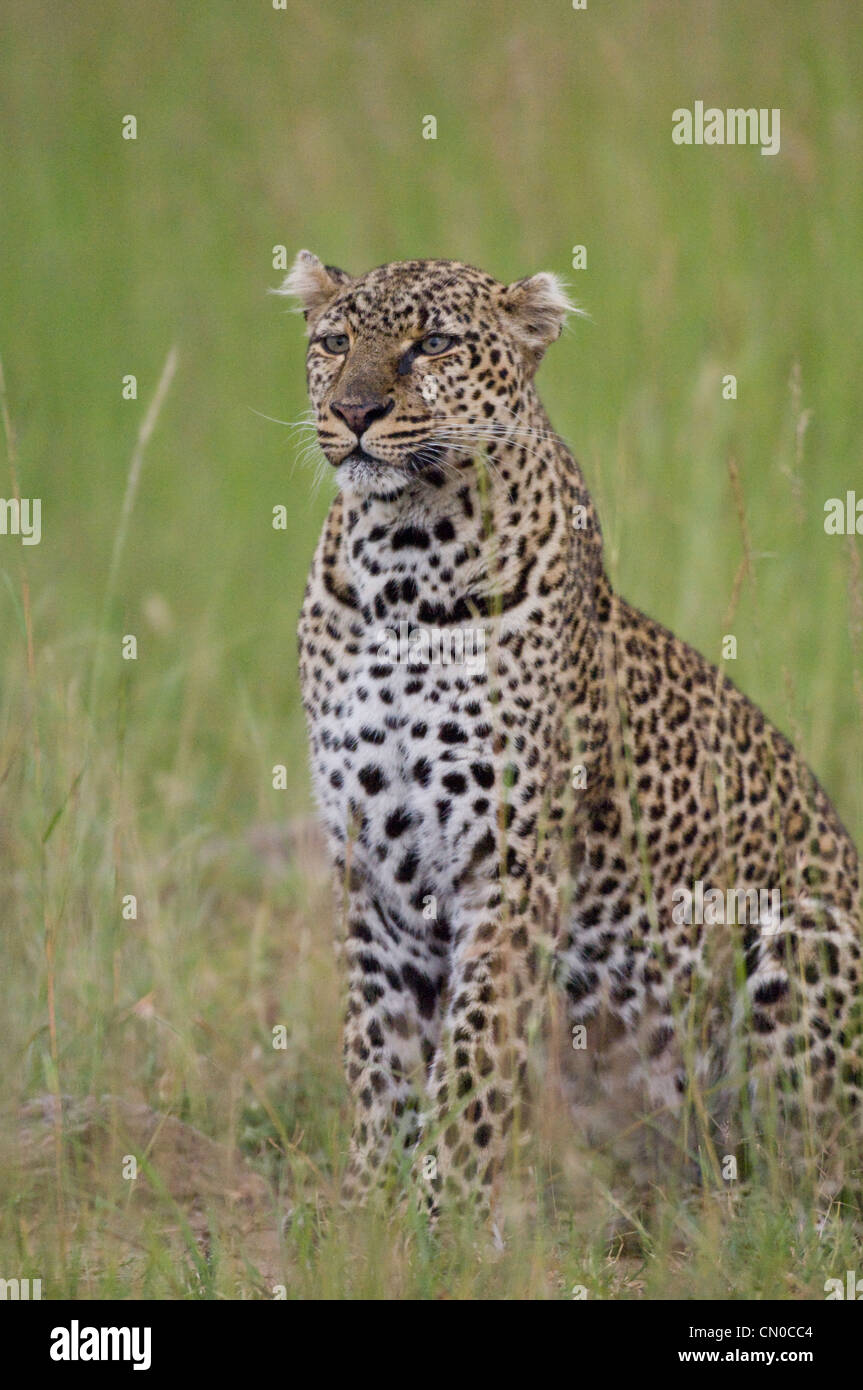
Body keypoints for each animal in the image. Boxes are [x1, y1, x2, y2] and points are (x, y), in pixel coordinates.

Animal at [282, 250, 862, 1226]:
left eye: (431, 344)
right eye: (333, 342)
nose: (354, 412)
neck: (402, 567)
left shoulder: (507, 864)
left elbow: (472, 1055)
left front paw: (446, 1214)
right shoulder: (369, 863)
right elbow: (377, 1049)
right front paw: (366, 1211)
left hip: (799, 937)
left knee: (812, 1151)